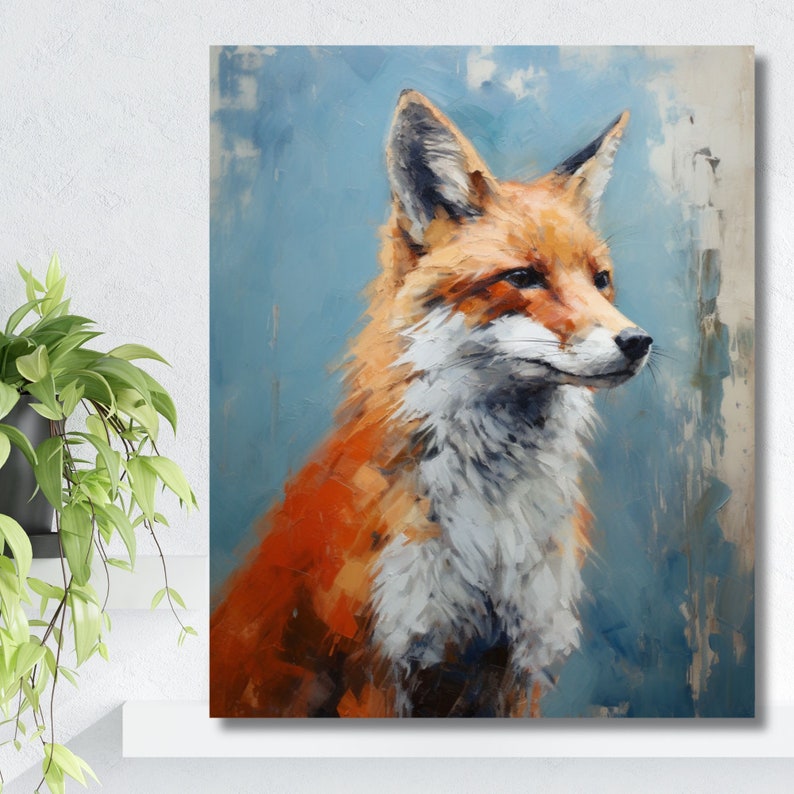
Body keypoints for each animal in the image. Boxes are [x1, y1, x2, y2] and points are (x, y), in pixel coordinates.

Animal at [210, 89, 652, 718]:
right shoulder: (379, 666)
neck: (494, 528)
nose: (638, 342)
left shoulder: (517, 665)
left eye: (601, 280)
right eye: (524, 276)